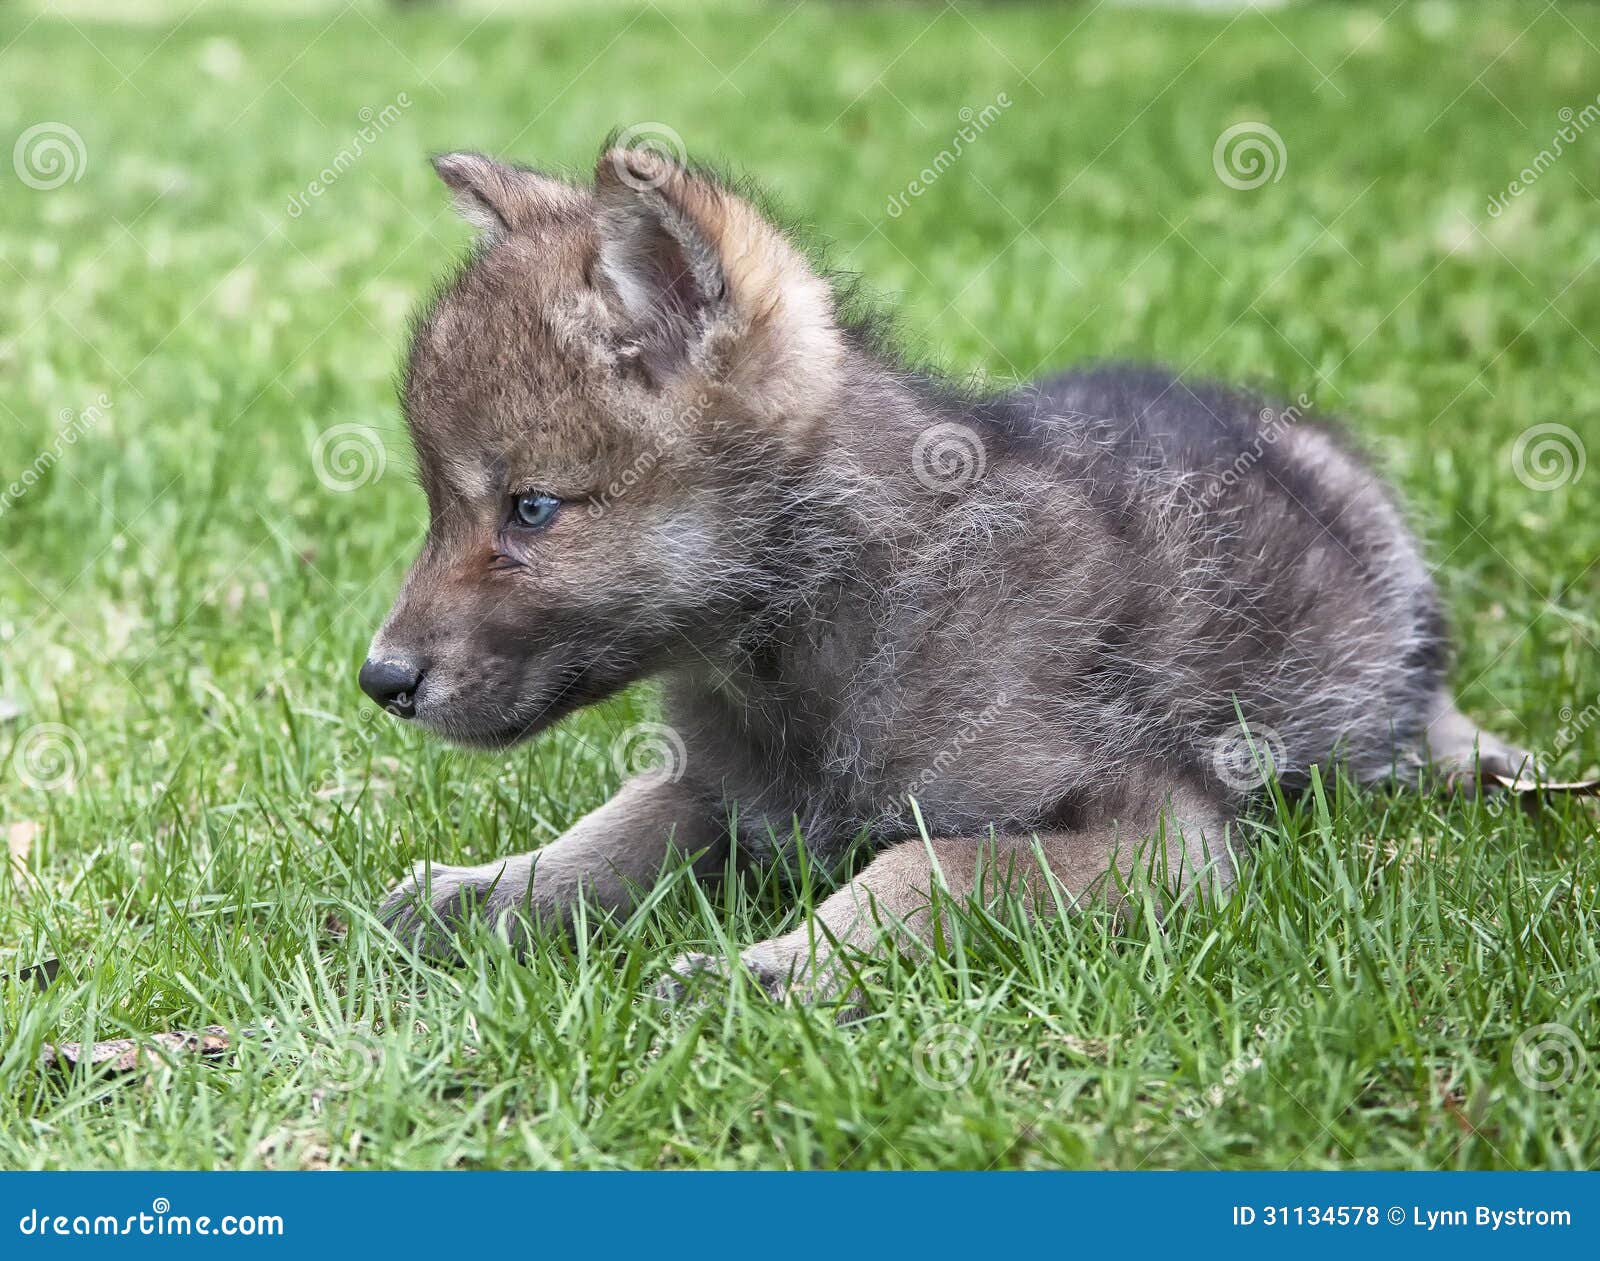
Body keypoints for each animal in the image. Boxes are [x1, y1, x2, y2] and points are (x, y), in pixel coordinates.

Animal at [361, 143, 1528, 1001]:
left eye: (532, 508)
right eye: (441, 506)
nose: (381, 680)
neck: (816, 636)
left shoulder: (1162, 830)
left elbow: (927, 867)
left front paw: (779, 964)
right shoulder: (714, 789)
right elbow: (605, 833)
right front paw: (482, 887)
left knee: (1418, 699)